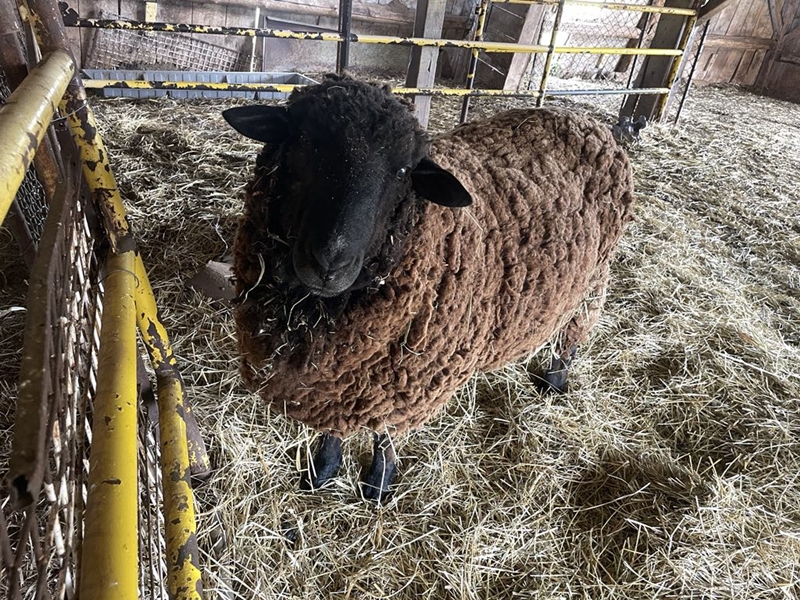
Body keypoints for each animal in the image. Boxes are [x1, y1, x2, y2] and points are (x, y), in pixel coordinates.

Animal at [223, 75, 635, 500]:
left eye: (403, 170)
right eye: (302, 141)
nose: (329, 263)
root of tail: (582, 119)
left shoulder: (400, 381)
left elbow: (384, 435)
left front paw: (379, 483)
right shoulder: (337, 385)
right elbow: (333, 428)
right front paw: (323, 469)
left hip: (595, 275)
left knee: (573, 332)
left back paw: (555, 381)